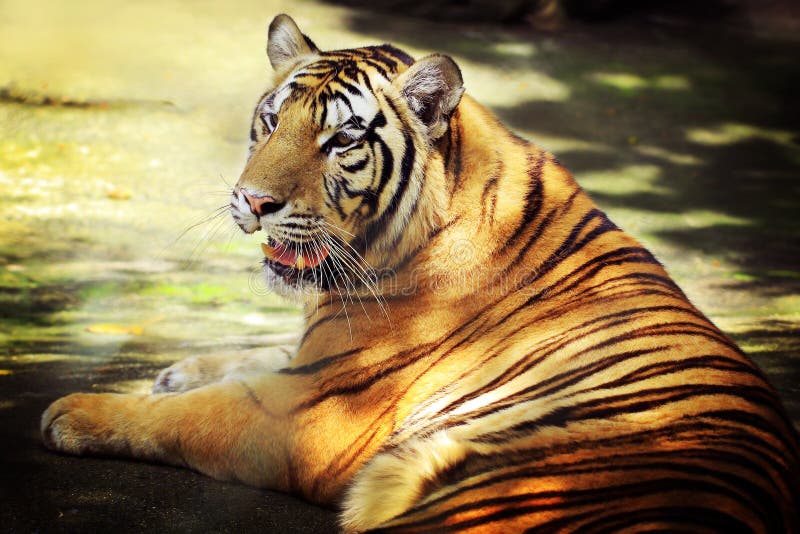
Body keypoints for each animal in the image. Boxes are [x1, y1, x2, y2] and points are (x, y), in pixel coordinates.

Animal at [41, 14, 798, 532]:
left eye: (341, 139)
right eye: (271, 120)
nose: (253, 201)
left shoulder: (305, 415)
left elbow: (190, 417)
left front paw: (76, 412)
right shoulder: (313, 357)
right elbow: (257, 351)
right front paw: (178, 371)